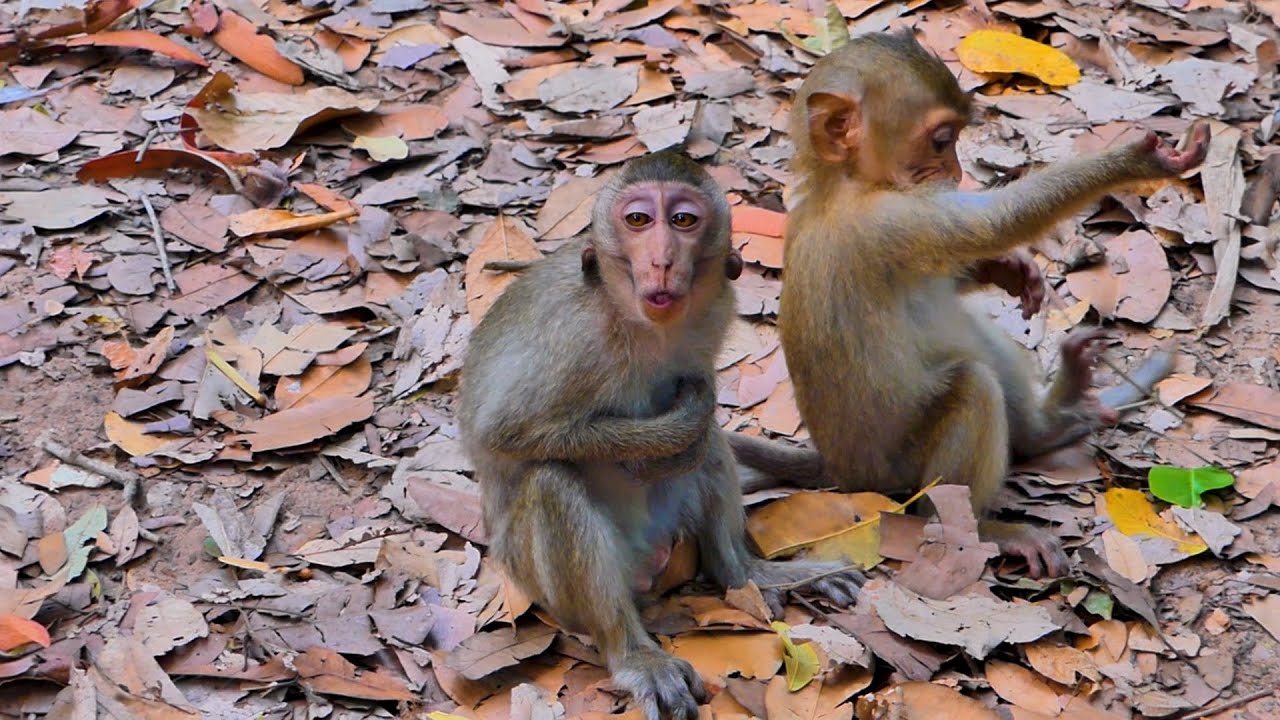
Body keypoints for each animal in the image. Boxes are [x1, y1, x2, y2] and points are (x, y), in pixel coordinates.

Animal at [457, 151, 862, 720]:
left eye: (683, 221)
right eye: (638, 220)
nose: (663, 260)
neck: (633, 319)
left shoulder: (718, 307)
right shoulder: (571, 333)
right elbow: (505, 431)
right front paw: (665, 439)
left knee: (711, 453)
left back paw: (745, 573)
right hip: (543, 583)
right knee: (552, 481)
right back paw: (632, 652)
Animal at [727, 30, 1208, 580]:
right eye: (941, 140)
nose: (956, 172)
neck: (843, 182)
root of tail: (842, 472)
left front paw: (1005, 269)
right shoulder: (885, 221)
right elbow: (993, 223)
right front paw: (1137, 161)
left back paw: (1044, 429)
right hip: (896, 475)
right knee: (973, 389)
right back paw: (975, 529)